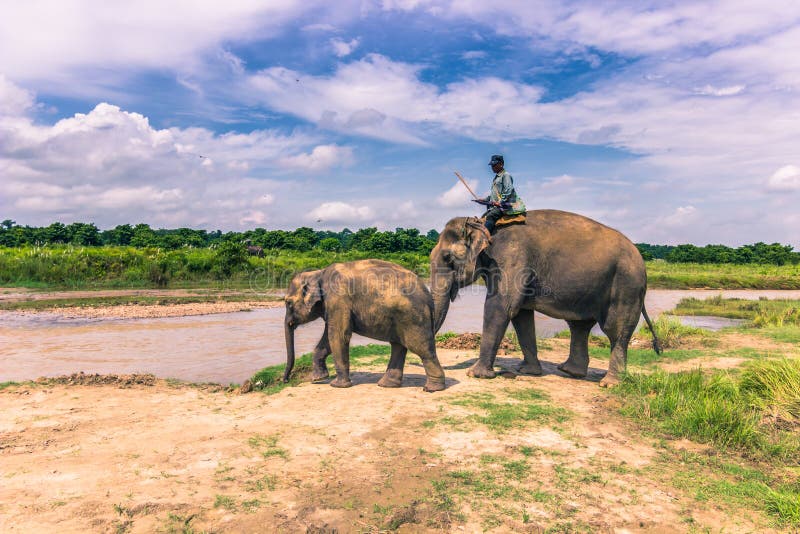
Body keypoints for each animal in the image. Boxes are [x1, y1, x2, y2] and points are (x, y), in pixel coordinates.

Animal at [283, 259, 447, 392]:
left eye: (288, 303)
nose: (285, 380)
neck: (318, 273)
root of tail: (429, 298)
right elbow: (328, 339)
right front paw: (318, 379)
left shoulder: (338, 300)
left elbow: (338, 336)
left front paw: (337, 385)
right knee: (398, 346)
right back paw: (386, 385)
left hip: (413, 318)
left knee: (422, 349)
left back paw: (432, 388)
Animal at [429, 209, 661, 387]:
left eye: (448, 258)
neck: (483, 224)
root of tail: (640, 259)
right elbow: (521, 315)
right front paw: (528, 371)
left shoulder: (511, 260)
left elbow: (501, 308)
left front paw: (476, 374)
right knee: (579, 326)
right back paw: (571, 371)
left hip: (626, 285)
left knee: (616, 330)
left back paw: (609, 384)